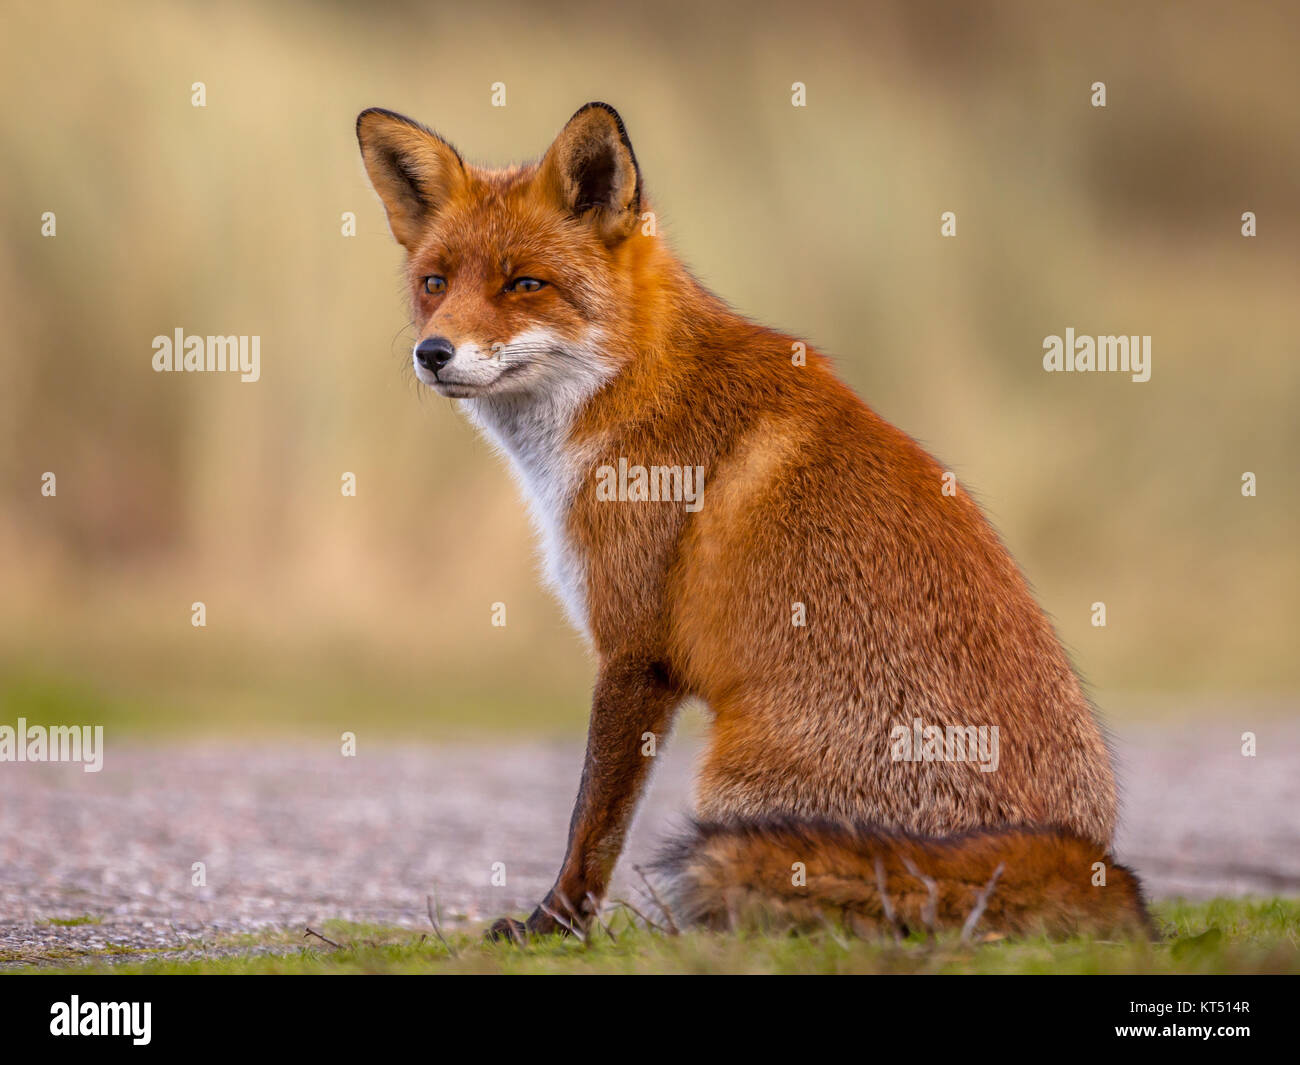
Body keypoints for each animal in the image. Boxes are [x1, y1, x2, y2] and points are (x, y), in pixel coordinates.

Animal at [356, 102, 1151, 940]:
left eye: (525, 284)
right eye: (435, 283)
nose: (433, 351)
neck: (633, 389)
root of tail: (1076, 854)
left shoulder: (636, 651)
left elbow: (591, 822)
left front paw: (555, 926)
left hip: (730, 785)